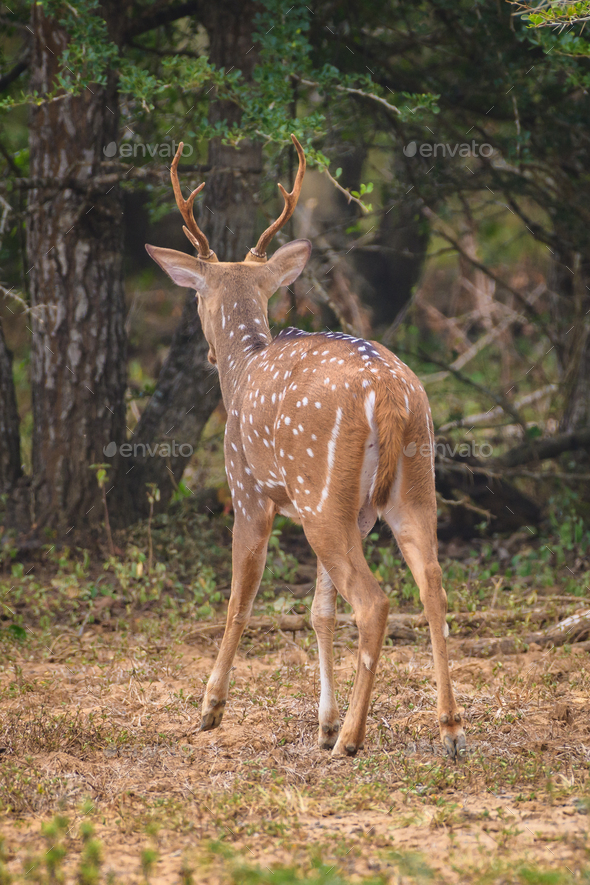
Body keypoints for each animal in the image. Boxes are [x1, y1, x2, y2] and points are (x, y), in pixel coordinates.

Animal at [146, 136, 466, 760]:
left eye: (196, 298)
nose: (209, 352)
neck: (243, 368)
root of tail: (390, 394)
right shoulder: (345, 513)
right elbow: (319, 612)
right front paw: (321, 721)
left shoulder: (248, 491)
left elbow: (240, 601)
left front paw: (210, 709)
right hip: (406, 488)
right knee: (432, 586)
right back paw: (448, 731)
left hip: (321, 493)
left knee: (374, 601)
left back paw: (353, 741)